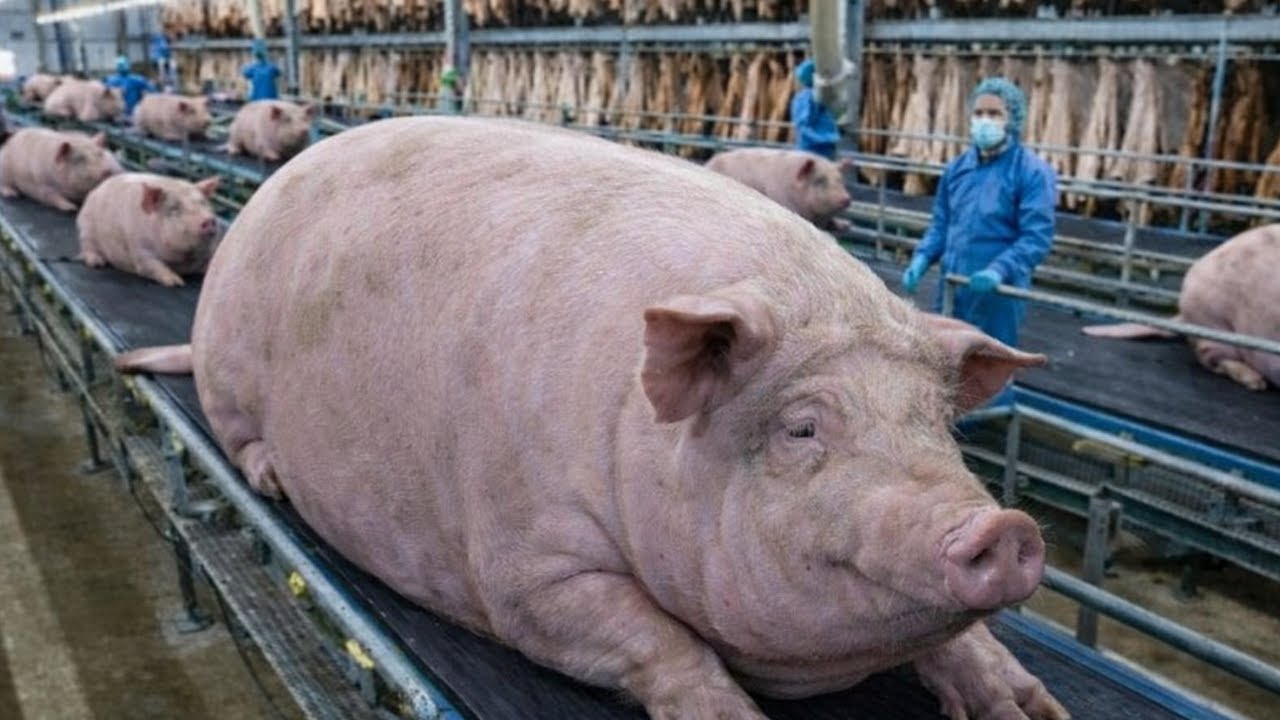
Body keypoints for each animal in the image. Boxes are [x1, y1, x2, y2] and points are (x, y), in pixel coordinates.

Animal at [77, 173, 221, 287]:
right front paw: (176, 283)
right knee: (88, 246)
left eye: (203, 203)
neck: (185, 260)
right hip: (87, 230)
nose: (209, 220)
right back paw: (97, 263)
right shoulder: (139, 249)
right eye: (174, 209)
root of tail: (96, 189)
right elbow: (151, 266)